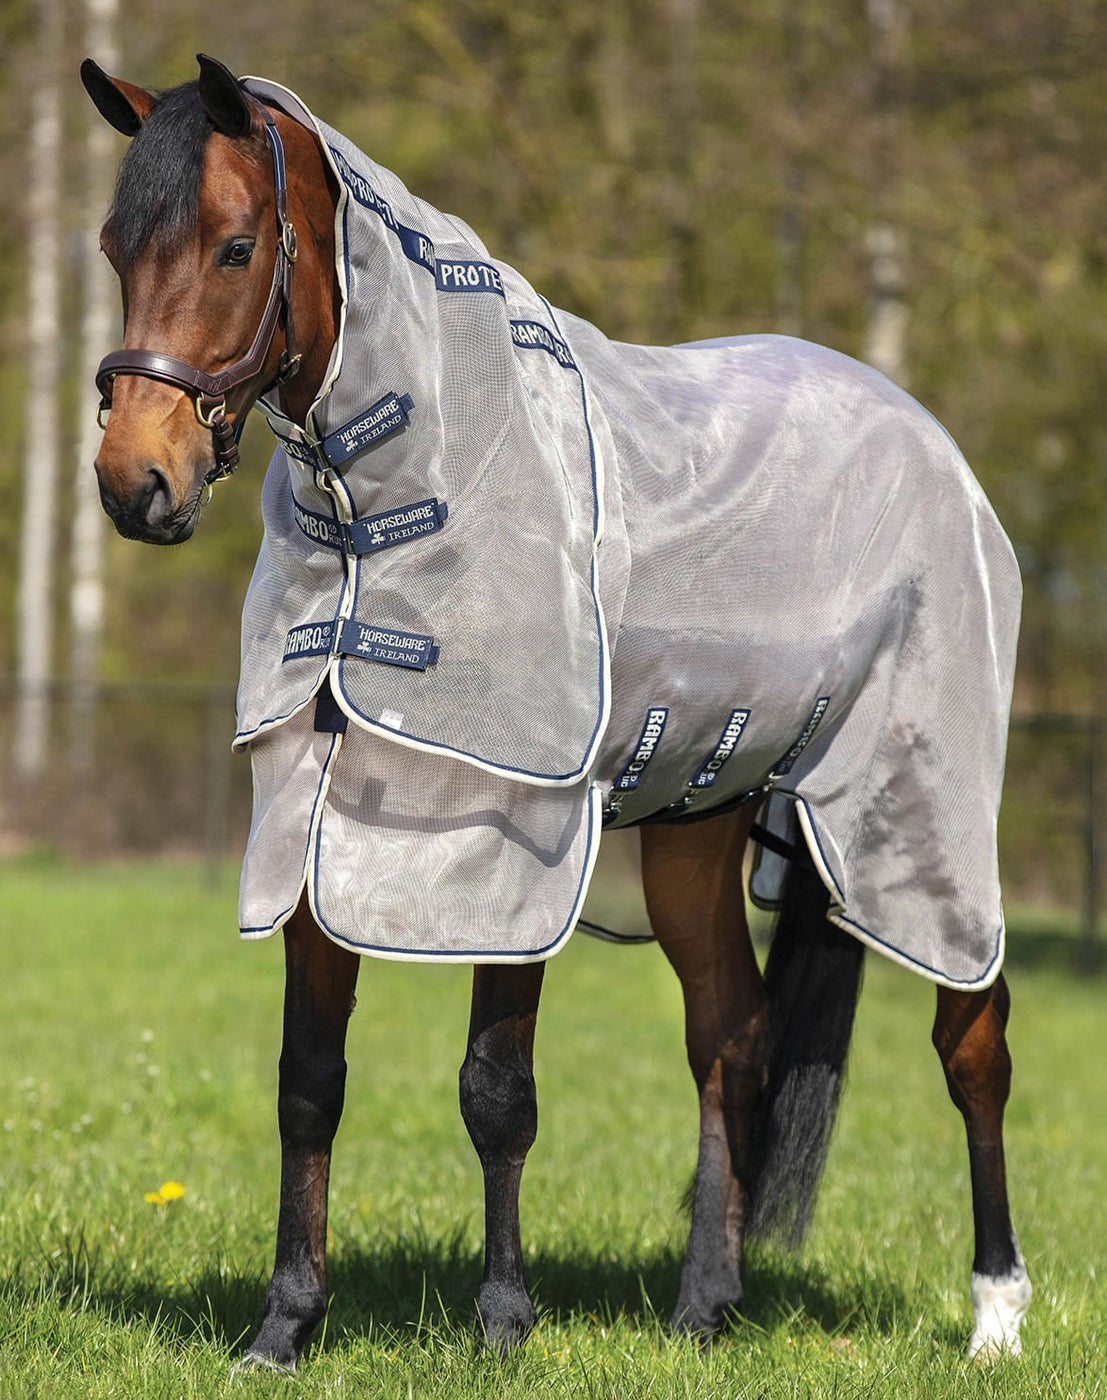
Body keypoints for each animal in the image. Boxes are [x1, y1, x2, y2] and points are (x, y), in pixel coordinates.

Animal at [81, 54, 1031, 1370]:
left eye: (232, 247)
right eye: (117, 247)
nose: (137, 483)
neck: (409, 492)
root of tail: (929, 437)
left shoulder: (512, 828)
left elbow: (497, 1089)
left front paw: (501, 1322)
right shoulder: (315, 824)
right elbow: (308, 1077)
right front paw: (282, 1325)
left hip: (917, 811)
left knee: (972, 1042)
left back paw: (995, 1312)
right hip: (696, 826)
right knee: (731, 1033)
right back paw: (705, 1302)